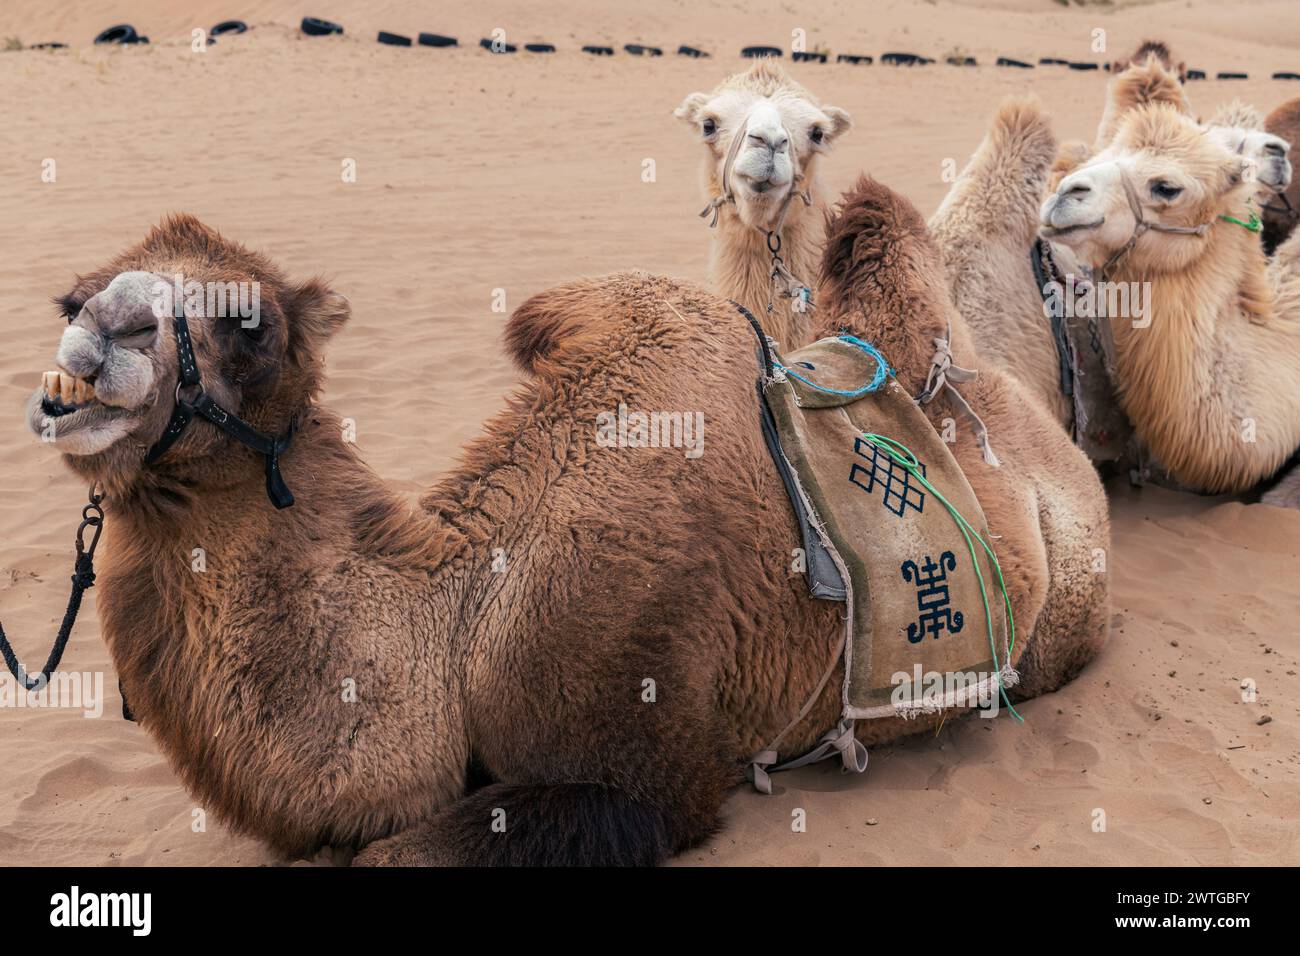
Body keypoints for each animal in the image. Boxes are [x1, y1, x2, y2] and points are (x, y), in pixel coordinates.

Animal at [24, 211, 1106, 865]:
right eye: (70, 298)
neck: (459, 621)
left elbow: (392, 850)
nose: (97, 344)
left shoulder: (645, 768)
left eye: (249, 322)